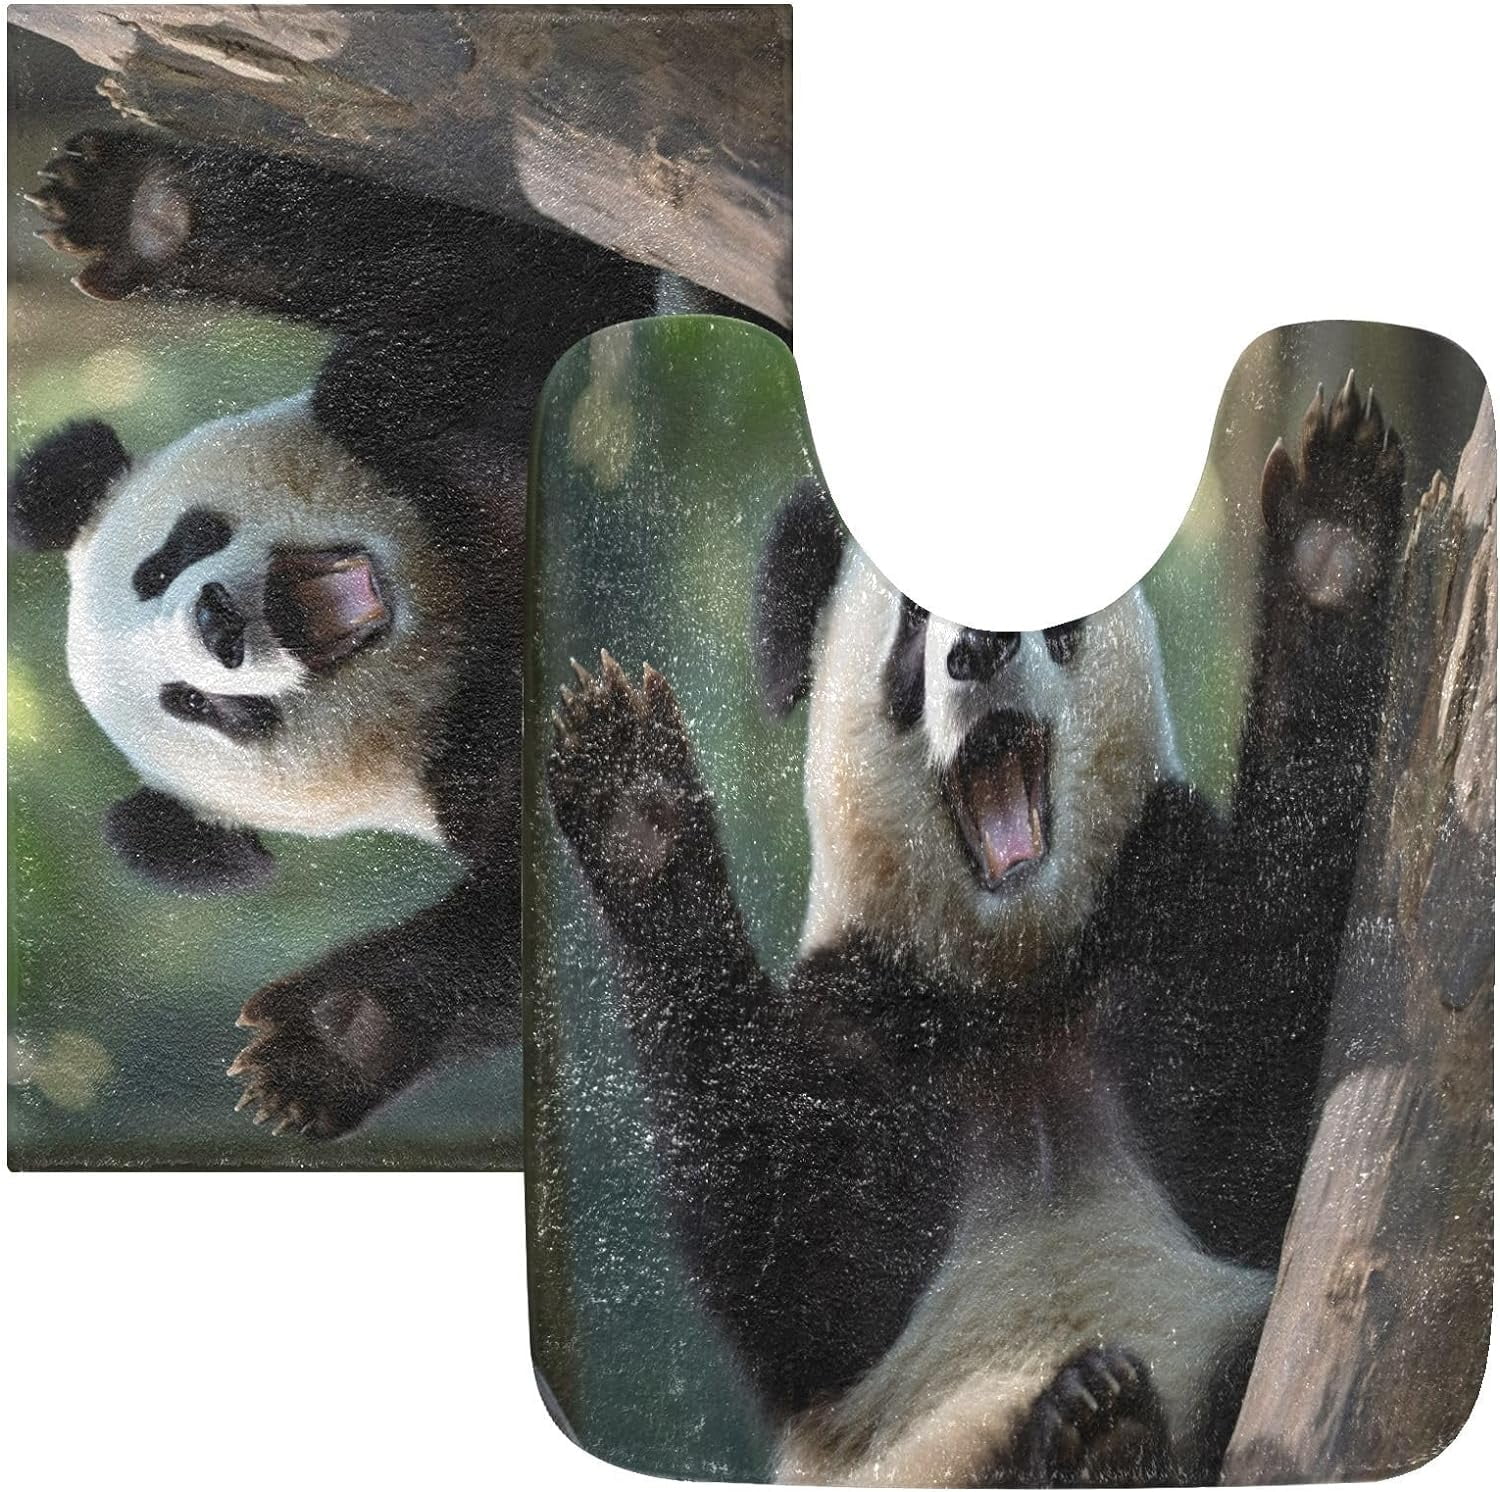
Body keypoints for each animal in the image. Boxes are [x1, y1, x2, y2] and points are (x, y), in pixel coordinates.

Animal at [10, 126, 771, 1139]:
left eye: (170, 557)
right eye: (200, 707)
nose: (218, 619)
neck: (459, 606)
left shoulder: (421, 419)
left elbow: (486, 269)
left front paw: (138, 206)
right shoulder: (465, 764)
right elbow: (532, 920)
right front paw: (327, 1044)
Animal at [544, 373, 1406, 1484]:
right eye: (914, 618)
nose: (981, 646)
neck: (1016, 984)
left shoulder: (1162, 910)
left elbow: (1262, 1086)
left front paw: (1332, 539)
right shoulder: (865, 1014)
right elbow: (796, 1259)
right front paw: (632, 797)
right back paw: (1092, 1423)